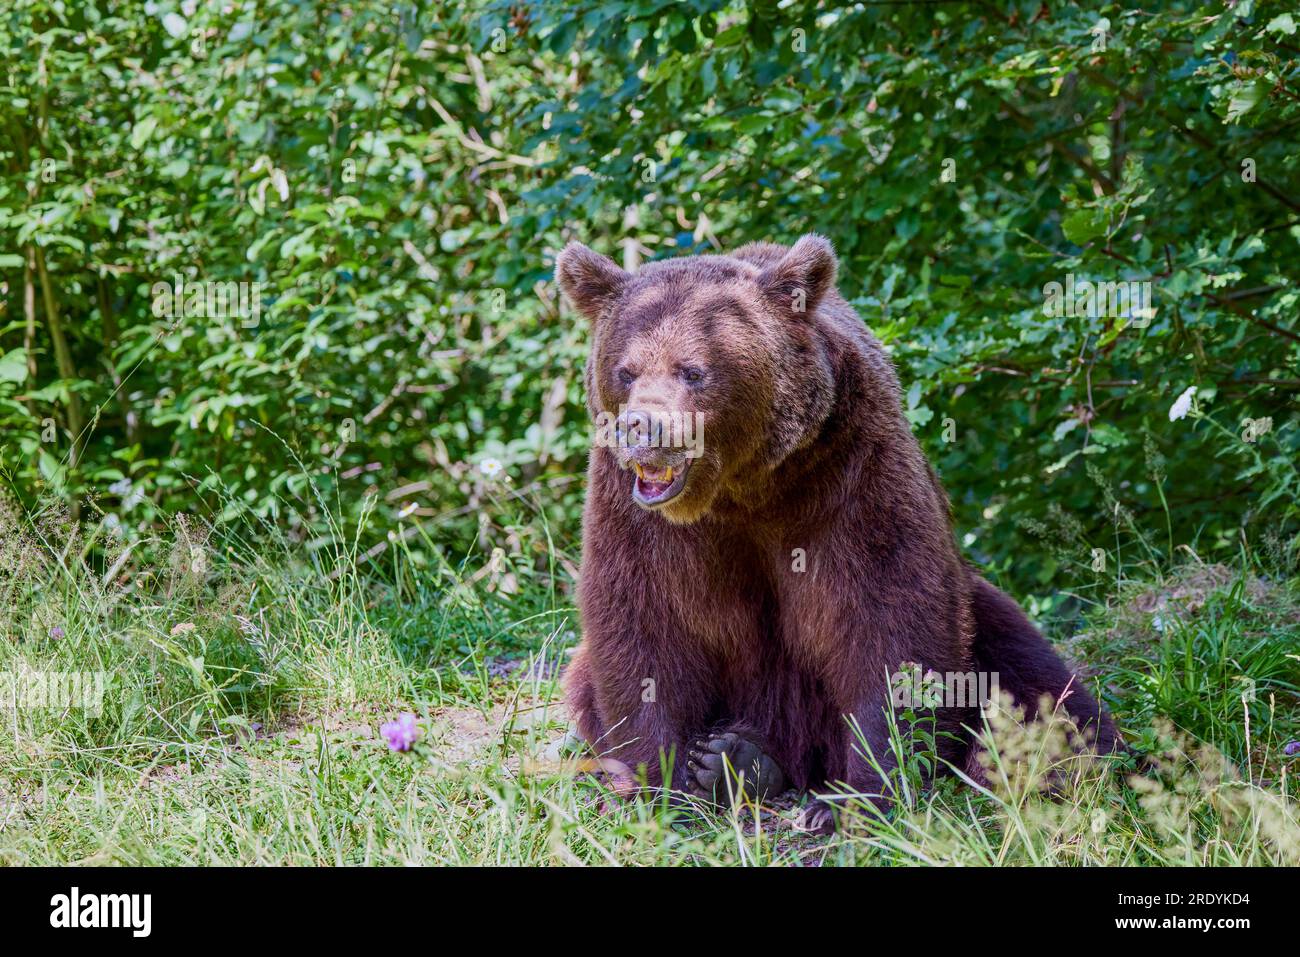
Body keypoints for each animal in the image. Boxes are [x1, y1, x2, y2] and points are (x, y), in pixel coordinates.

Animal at [555, 234, 1120, 833]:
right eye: (626, 371)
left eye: (692, 370)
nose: (642, 428)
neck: (742, 485)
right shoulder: (635, 516)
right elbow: (641, 626)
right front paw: (661, 784)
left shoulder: (848, 476)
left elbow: (887, 620)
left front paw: (862, 796)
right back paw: (737, 760)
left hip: (973, 606)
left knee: (1026, 672)